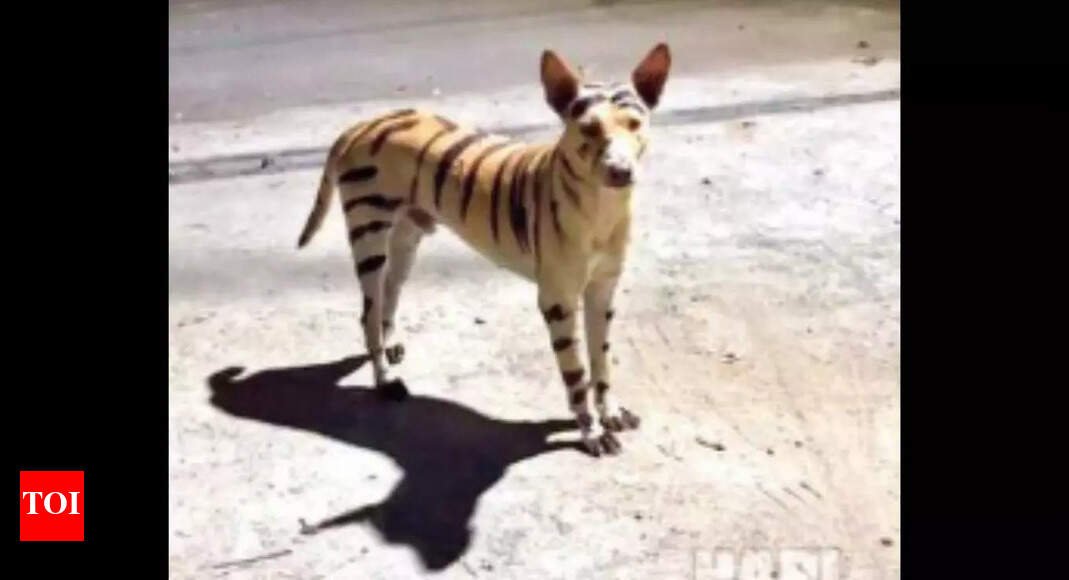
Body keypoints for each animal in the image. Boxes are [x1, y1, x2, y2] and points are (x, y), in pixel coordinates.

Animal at [296, 43, 671, 456]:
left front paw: (610, 412)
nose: (621, 172)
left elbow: (601, 363)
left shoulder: (602, 292)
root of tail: (362, 125)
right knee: (368, 313)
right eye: (588, 128)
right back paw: (385, 380)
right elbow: (576, 374)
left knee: (390, 293)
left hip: (406, 238)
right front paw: (590, 430)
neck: (602, 209)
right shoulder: (558, 301)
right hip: (369, 239)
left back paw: (391, 346)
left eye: (634, 124)